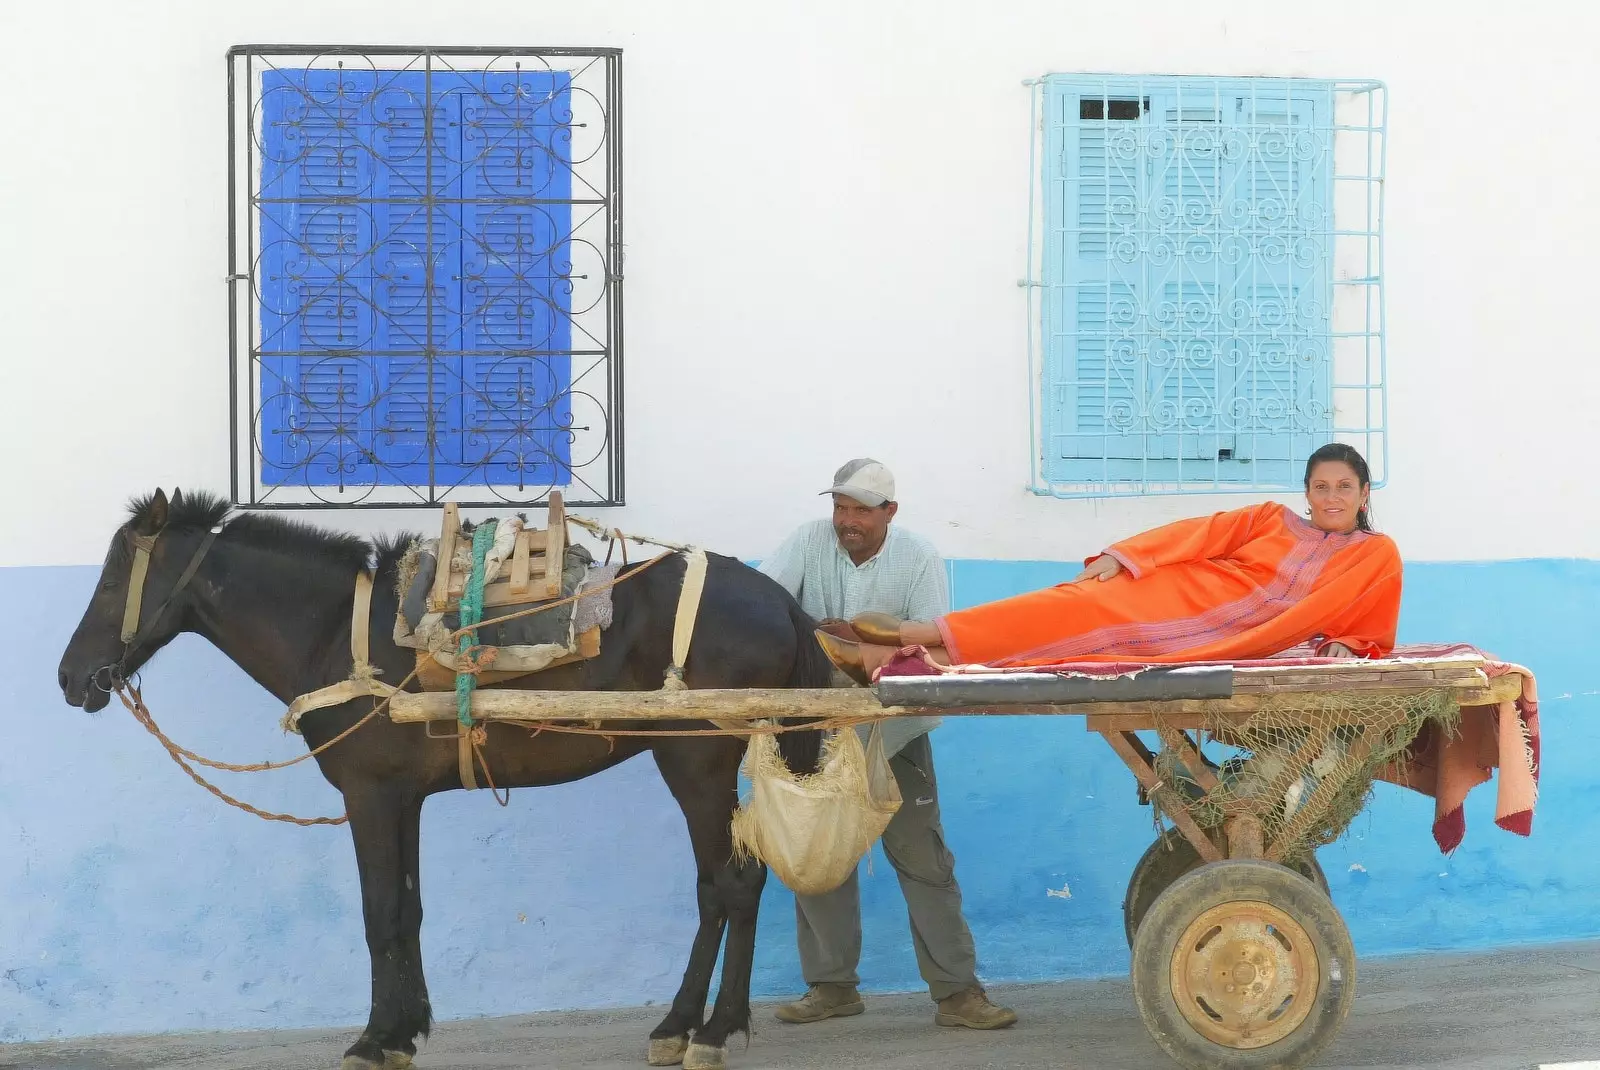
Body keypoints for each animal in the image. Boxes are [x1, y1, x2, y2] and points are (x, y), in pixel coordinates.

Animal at [53, 489, 825, 1068]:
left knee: (733, 884)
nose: (69, 678)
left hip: (696, 758)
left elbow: (377, 912)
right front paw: (406, 1031)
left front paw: (371, 1041)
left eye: (113, 579)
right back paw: (682, 1025)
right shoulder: (404, 799)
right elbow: (409, 908)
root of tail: (781, 600)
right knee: (719, 887)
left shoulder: (368, 796)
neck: (336, 632)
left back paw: (714, 1031)